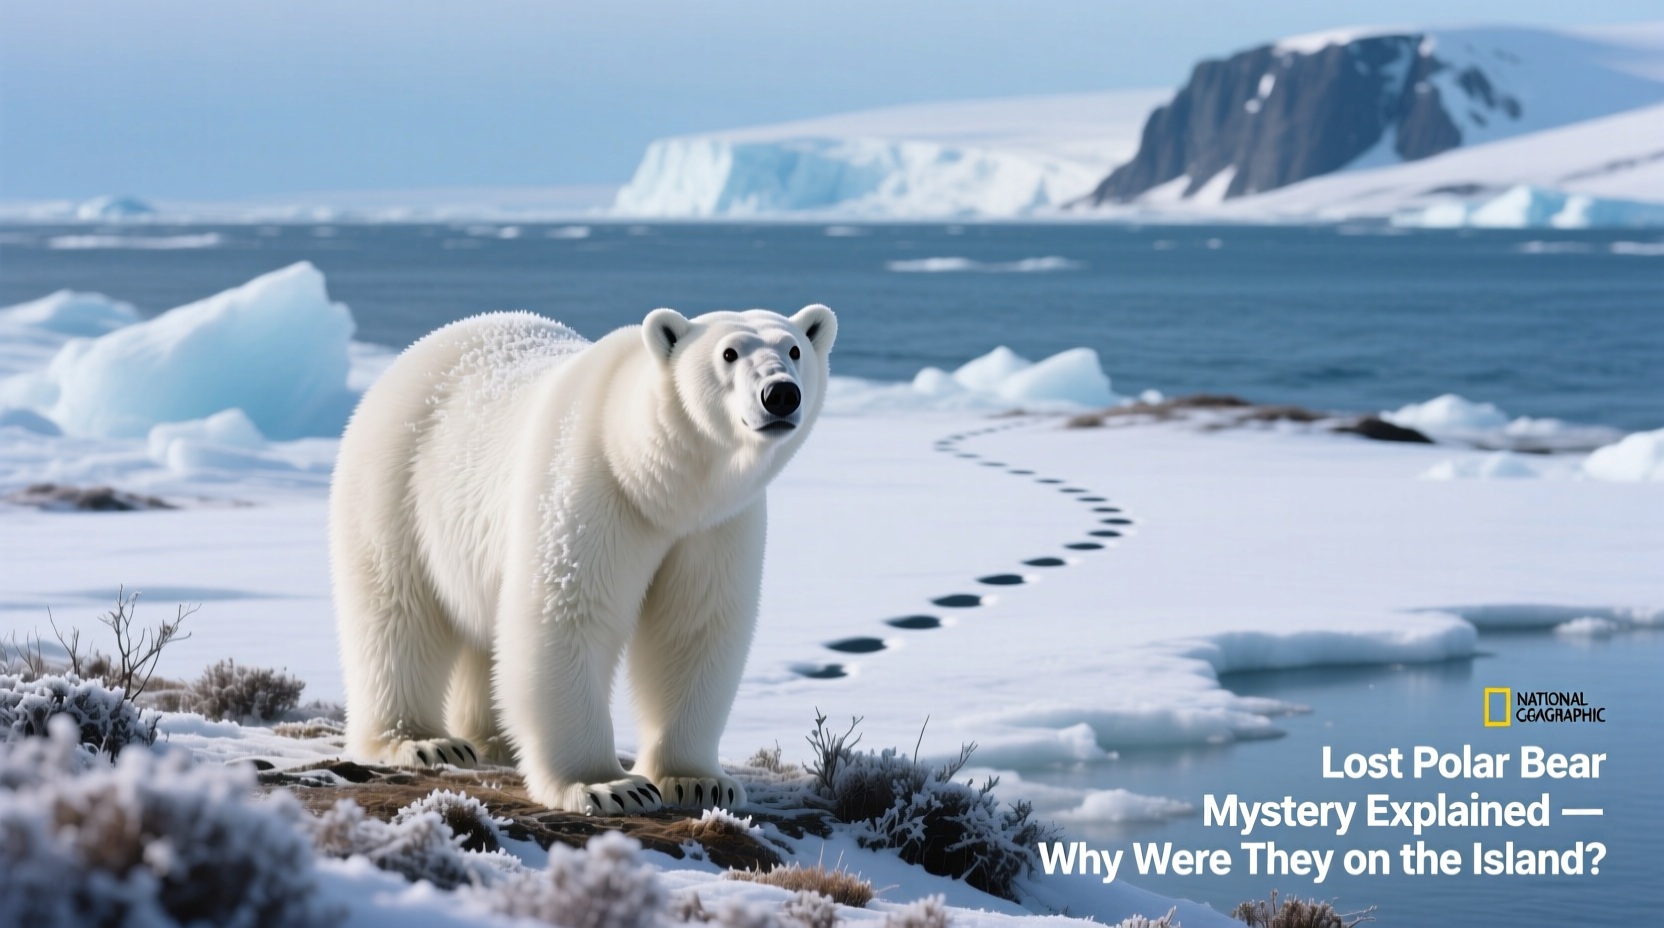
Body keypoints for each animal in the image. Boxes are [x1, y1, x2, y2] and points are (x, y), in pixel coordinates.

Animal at [329, 304, 836, 814]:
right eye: (729, 352)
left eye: (794, 349)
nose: (780, 394)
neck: (655, 480)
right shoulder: (590, 488)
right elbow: (568, 616)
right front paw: (609, 786)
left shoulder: (714, 527)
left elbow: (693, 627)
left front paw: (699, 781)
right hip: (396, 487)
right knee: (397, 614)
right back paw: (422, 741)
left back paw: (494, 739)